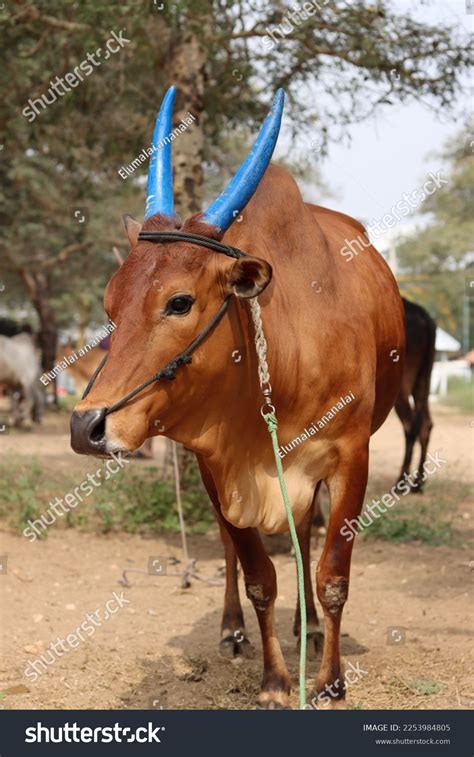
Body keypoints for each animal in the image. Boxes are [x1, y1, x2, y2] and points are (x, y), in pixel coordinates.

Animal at [70, 86, 405, 709]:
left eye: (179, 302)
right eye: (109, 303)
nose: (87, 426)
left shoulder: (352, 456)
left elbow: (333, 575)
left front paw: (329, 679)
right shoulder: (218, 463)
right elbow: (257, 577)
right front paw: (274, 681)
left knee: (309, 534)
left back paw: (310, 628)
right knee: (232, 550)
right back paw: (231, 629)